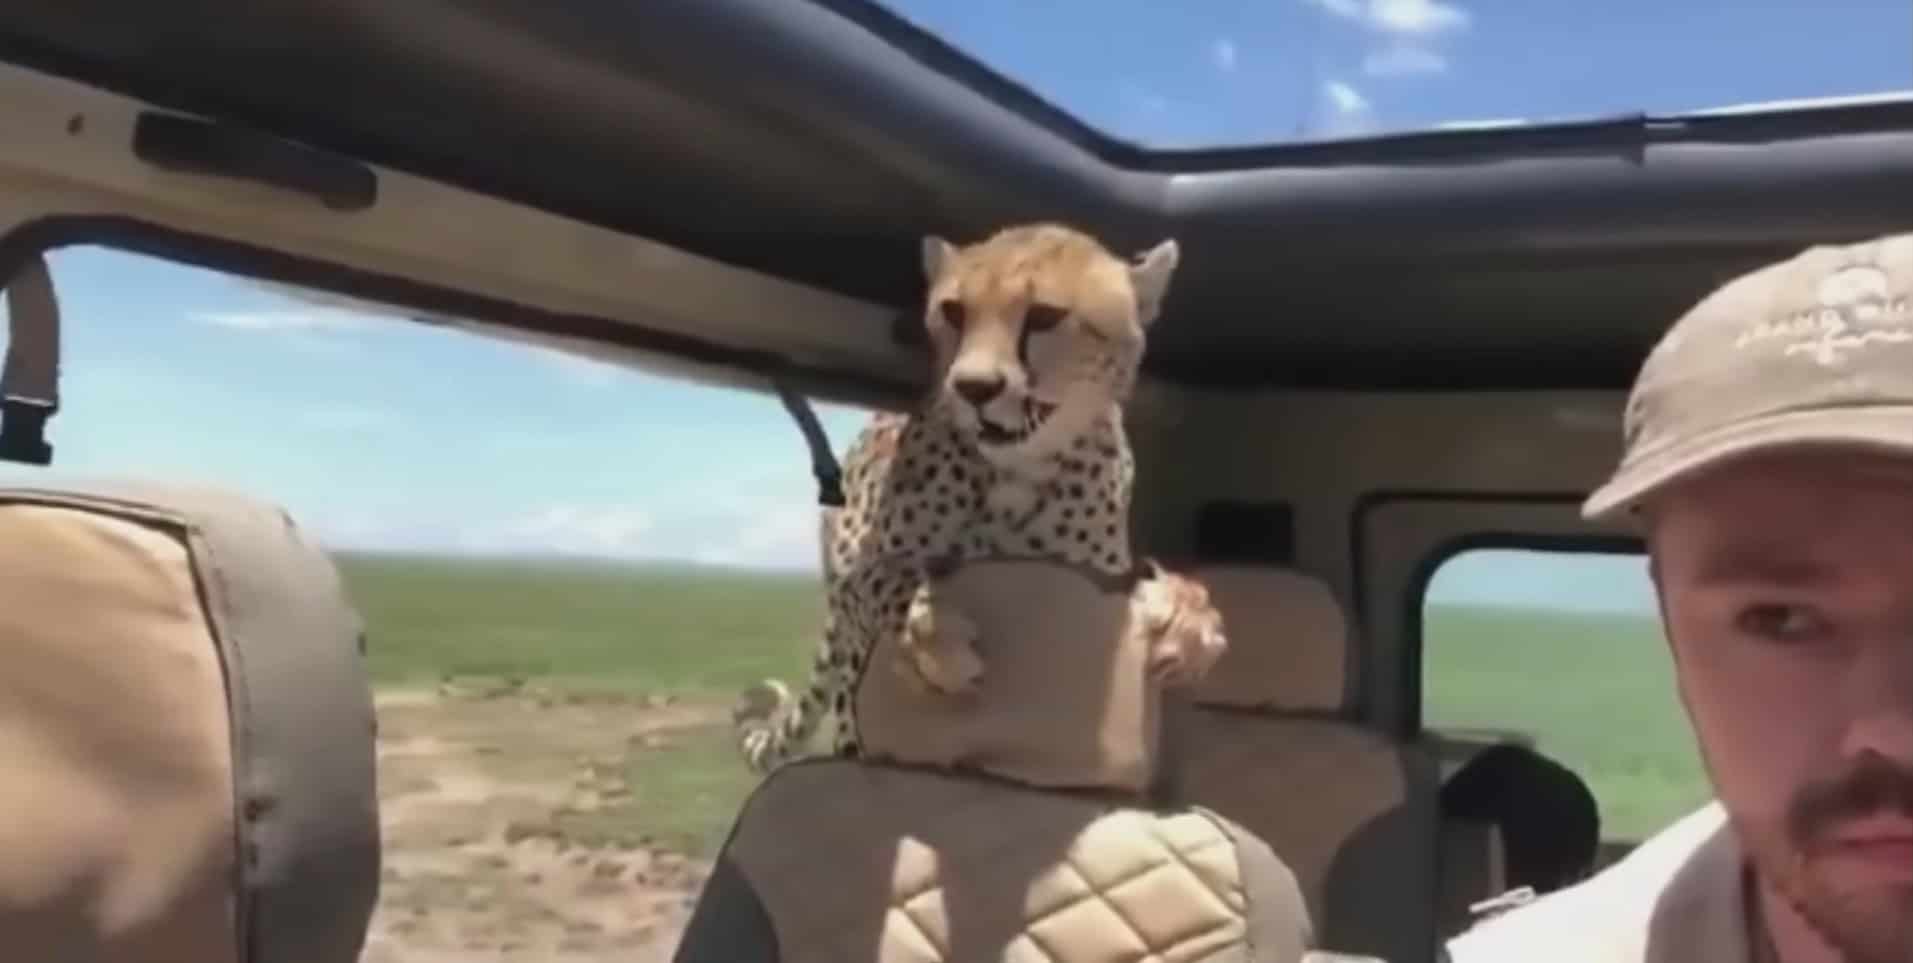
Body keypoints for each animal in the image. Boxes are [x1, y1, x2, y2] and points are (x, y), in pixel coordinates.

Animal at [732, 221, 1220, 774]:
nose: (972, 387)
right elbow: (889, 576)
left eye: (1045, 316)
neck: (1020, 468)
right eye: (953, 312)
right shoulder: (861, 579)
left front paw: (1188, 620)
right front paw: (934, 631)